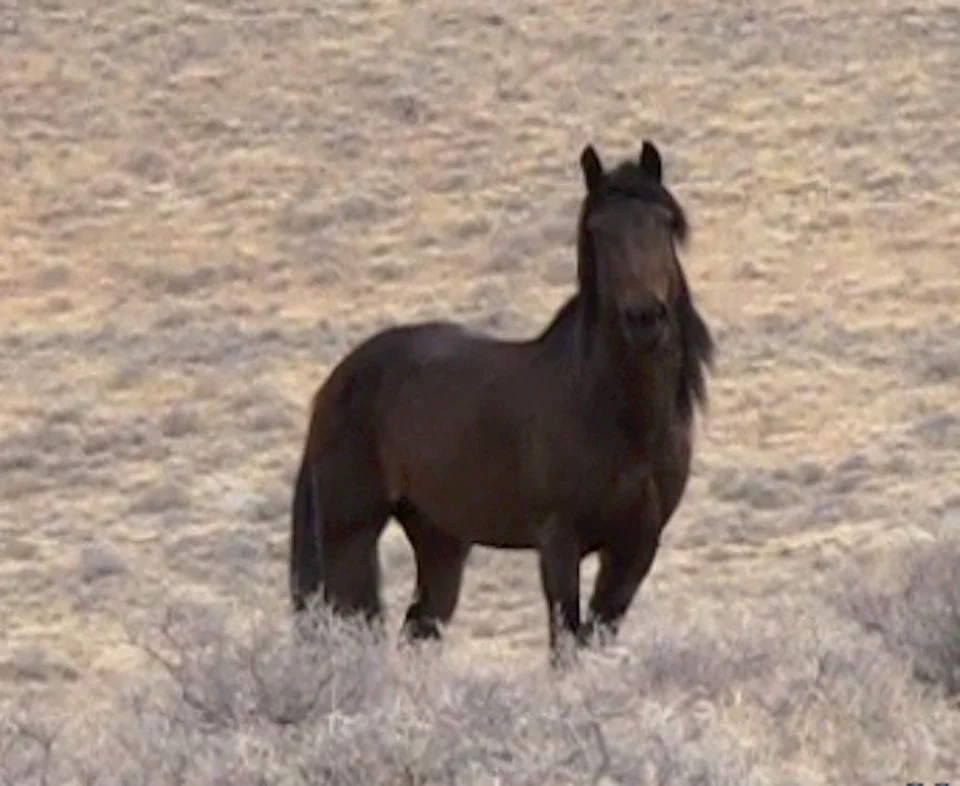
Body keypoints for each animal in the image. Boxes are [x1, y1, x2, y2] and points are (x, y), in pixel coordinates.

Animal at [289, 139, 714, 660]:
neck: (621, 418)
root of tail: (335, 382)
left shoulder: (636, 548)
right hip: (349, 534)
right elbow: (565, 646)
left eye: (664, 223)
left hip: (441, 541)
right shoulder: (559, 541)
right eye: (599, 231)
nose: (644, 318)